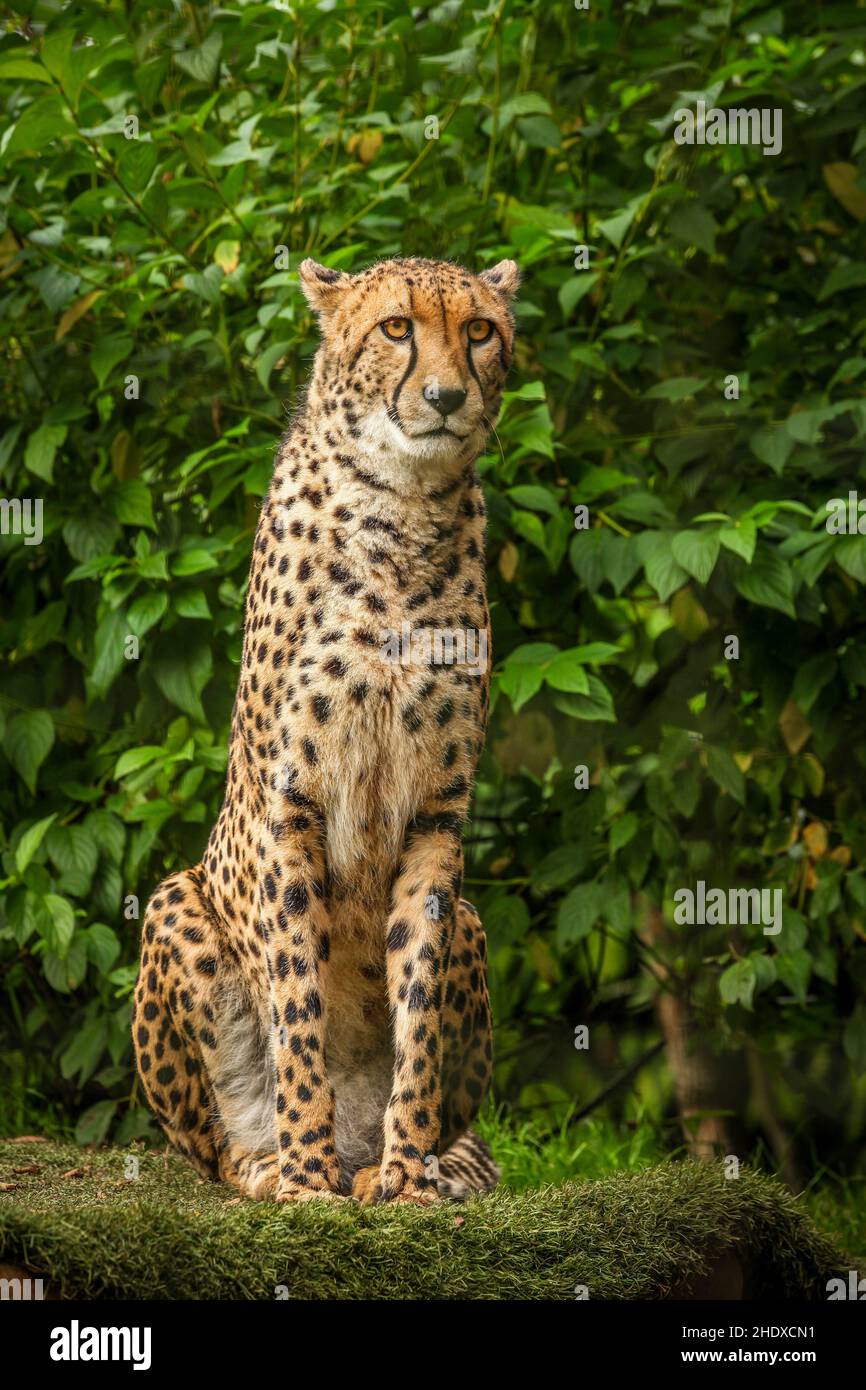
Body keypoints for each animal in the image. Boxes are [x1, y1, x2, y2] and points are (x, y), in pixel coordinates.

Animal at [131, 254, 520, 1205]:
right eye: (396, 328)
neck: (405, 512)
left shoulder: (438, 814)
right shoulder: (291, 803)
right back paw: (279, 1161)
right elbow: (299, 1003)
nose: (446, 396)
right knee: (210, 1148)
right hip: (171, 903)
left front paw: (408, 1178)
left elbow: (416, 1007)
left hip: (475, 922)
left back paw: (404, 1162)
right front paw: (307, 1178)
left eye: (480, 330)